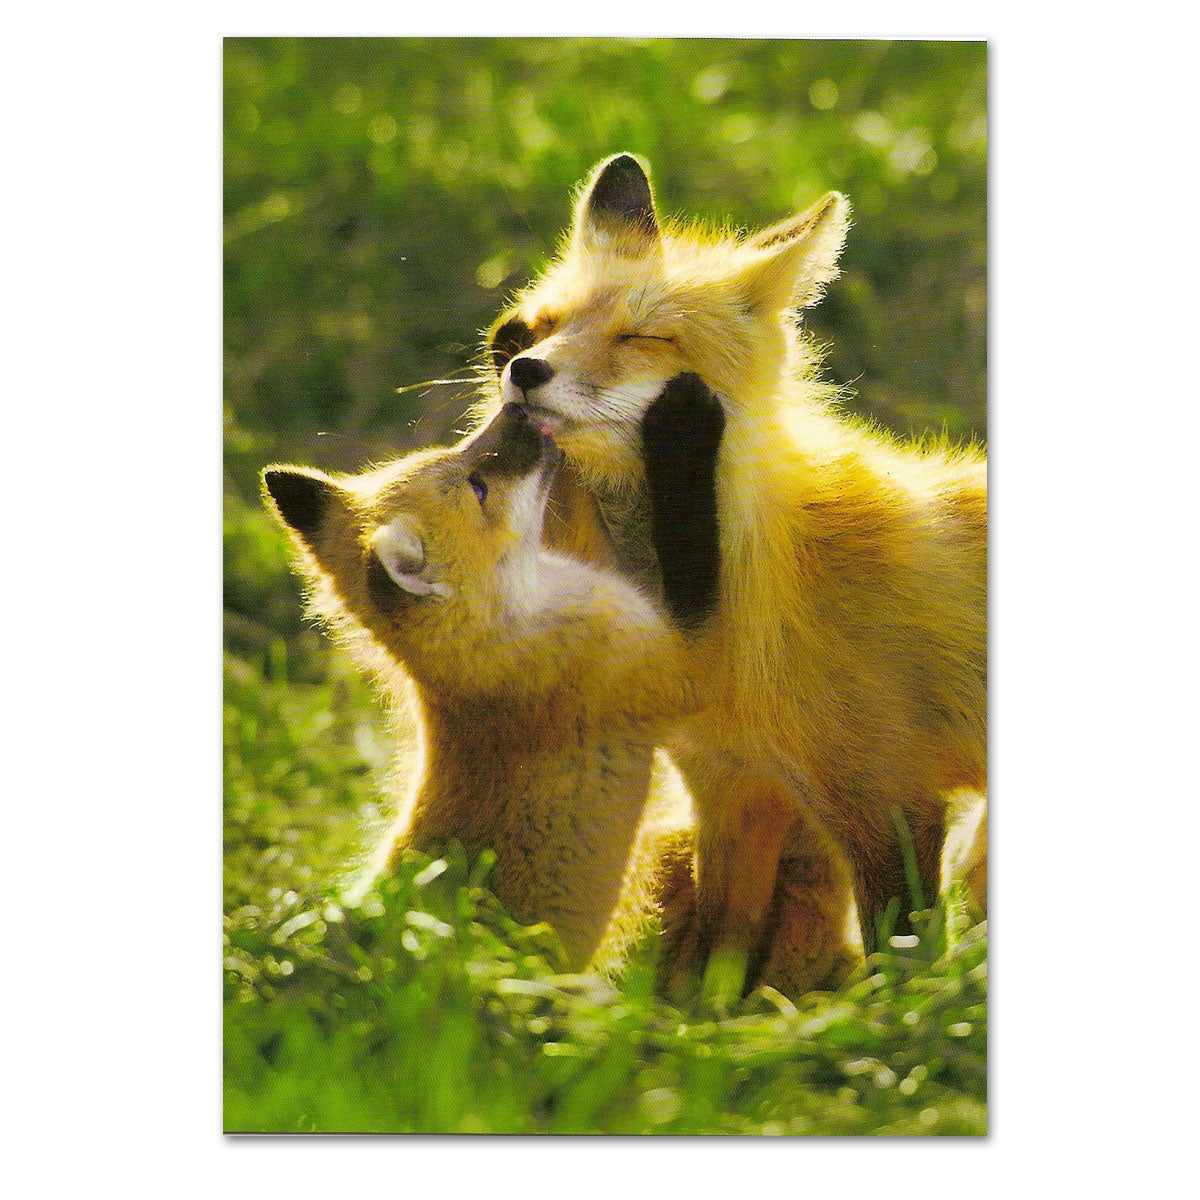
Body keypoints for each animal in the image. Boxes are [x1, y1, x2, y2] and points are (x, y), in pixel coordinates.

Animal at [262, 379, 726, 972]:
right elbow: (692, 541)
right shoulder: (681, 664)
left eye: (456, 452)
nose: (517, 409)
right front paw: (685, 424)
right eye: (478, 487)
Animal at [477, 153, 987, 983]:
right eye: (545, 326)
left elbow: (900, 957)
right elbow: (718, 952)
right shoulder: (732, 788)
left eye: (643, 335)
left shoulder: (888, 795)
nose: (521, 367)